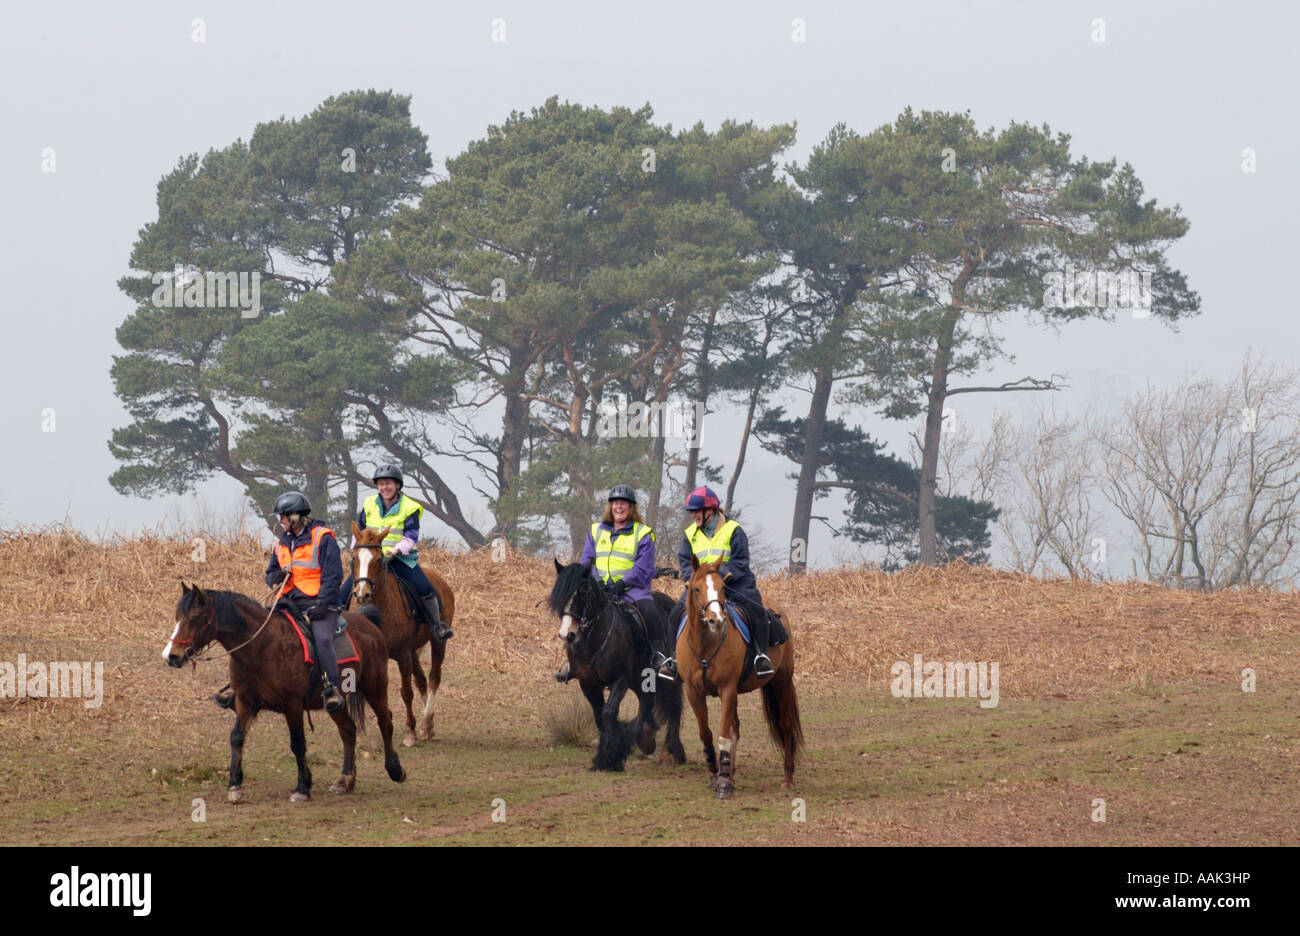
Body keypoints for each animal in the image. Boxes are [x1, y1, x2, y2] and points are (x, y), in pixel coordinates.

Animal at [162, 582, 406, 802]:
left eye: (193, 619)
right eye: (177, 617)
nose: (171, 656)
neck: (261, 647)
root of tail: (369, 625)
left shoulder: (292, 705)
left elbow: (297, 743)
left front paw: (303, 787)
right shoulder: (244, 702)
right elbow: (237, 738)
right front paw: (235, 785)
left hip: (375, 687)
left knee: (385, 721)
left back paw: (395, 769)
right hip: (336, 703)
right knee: (348, 730)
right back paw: (345, 780)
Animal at [348, 523, 455, 747]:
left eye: (378, 559)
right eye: (354, 558)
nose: (362, 594)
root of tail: (441, 581)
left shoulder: (403, 654)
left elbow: (406, 693)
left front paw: (410, 733)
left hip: (437, 642)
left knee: (433, 678)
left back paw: (425, 722)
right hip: (414, 649)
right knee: (421, 680)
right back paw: (429, 727)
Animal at [550, 559, 686, 771]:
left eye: (583, 592)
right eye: (561, 594)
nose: (567, 635)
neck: (595, 638)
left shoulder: (620, 680)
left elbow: (608, 712)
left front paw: (610, 756)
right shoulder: (588, 685)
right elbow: (599, 716)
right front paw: (606, 756)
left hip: (663, 677)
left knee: (673, 706)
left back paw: (670, 752)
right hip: (639, 679)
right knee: (646, 701)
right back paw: (645, 737)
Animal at [676, 556, 803, 798]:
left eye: (722, 588)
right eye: (696, 589)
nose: (716, 621)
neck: (706, 645)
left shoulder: (727, 689)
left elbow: (724, 735)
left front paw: (724, 784)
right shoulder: (693, 692)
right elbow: (707, 734)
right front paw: (716, 775)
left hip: (781, 681)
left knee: (785, 726)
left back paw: (788, 778)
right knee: (736, 727)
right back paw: (731, 772)